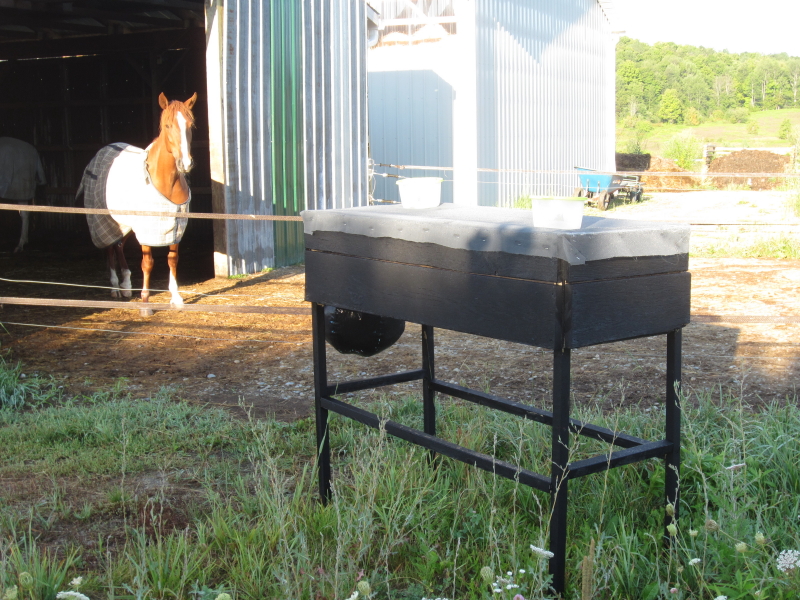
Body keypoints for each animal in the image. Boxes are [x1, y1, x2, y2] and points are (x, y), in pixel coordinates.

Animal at [76, 92, 197, 316]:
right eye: (167, 125)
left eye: (191, 125)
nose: (185, 163)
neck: (165, 181)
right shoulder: (147, 227)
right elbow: (147, 263)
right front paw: (146, 303)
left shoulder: (176, 225)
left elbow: (172, 259)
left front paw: (176, 298)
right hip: (106, 219)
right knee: (109, 247)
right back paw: (115, 288)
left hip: (125, 221)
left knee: (118, 245)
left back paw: (126, 286)